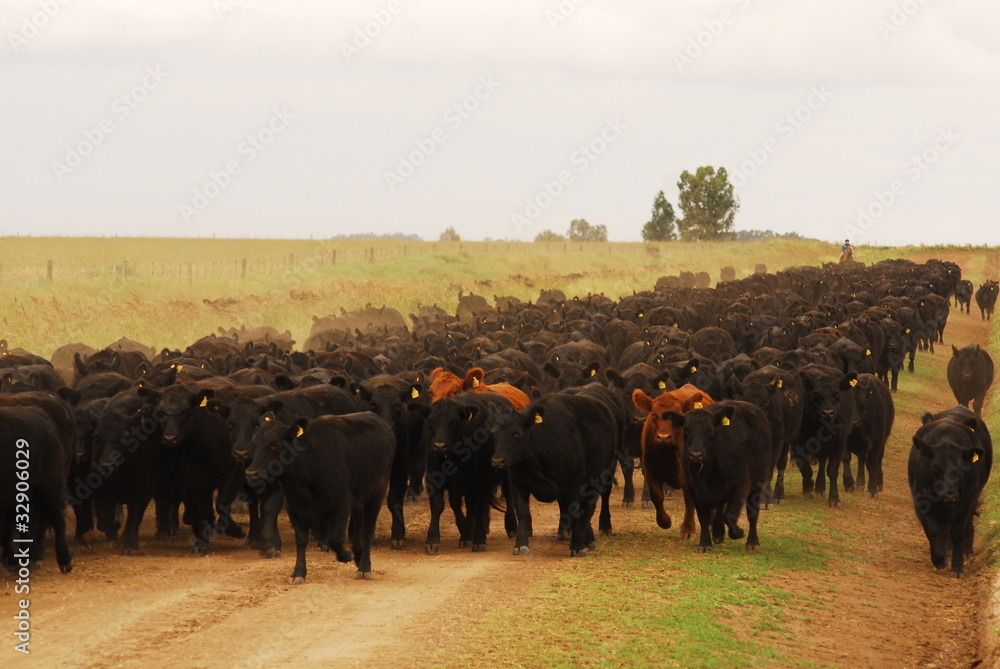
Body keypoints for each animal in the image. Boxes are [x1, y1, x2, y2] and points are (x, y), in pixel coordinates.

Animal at [245, 411, 395, 583]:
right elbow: (301, 541)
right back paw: (358, 556)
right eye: (254, 444)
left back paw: (364, 568)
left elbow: (335, 538)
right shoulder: (294, 509)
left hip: (378, 492)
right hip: (359, 497)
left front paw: (345, 555)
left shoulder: (342, 504)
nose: (251, 473)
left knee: (368, 531)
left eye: (275, 444)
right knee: (358, 525)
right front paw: (298, 573)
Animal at [492, 393, 617, 557]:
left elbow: (576, 511)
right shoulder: (517, 483)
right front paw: (520, 544)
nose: (497, 460)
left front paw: (577, 546)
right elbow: (522, 512)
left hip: (597, 480)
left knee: (588, 509)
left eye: (517, 433)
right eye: (494, 434)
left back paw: (586, 540)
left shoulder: (574, 484)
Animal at [631, 384, 715, 539]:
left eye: (678, 416)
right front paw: (664, 521)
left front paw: (688, 528)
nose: (663, 437)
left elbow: (689, 500)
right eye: (653, 414)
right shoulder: (650, 469)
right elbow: (657, 496)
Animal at [665, 401, 773, 553]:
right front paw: (705, 543)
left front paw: (738, 532)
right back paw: (718, 532)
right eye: (686, 429)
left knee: (752, 512)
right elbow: (704, 516)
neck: (709, 470)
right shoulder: (694, 489)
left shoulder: (740, 484)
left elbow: (730, 514)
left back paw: (752, 542)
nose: (696, 454)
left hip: (759, 480)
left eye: (710, 431)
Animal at [909, 412, 992, 577]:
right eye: (935, 468)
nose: (950, 496)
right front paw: (939, 560)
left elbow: (958, 533)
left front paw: (957, 567)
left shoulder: (967, 501)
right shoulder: (921, 501)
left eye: (961, 468)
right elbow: (933, 530)